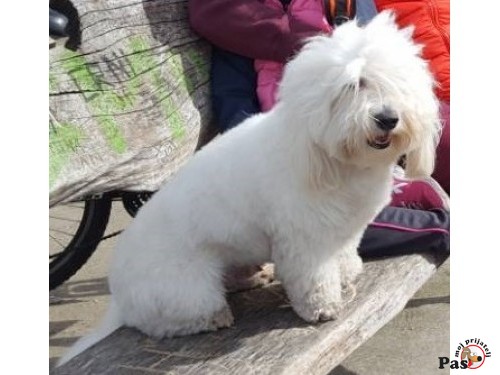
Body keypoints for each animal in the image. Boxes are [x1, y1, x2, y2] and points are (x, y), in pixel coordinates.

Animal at [60, 10, 440, 366]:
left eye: (397, 84)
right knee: (170, 320)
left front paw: (346, 275)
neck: (327, 156)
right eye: (353, 86)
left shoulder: (345, 229)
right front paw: (322, 308)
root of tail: (119, 300)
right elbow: (313, 278)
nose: (387, 118)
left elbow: (344, 254)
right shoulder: (305, 241)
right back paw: (215, 316)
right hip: (187, 290)